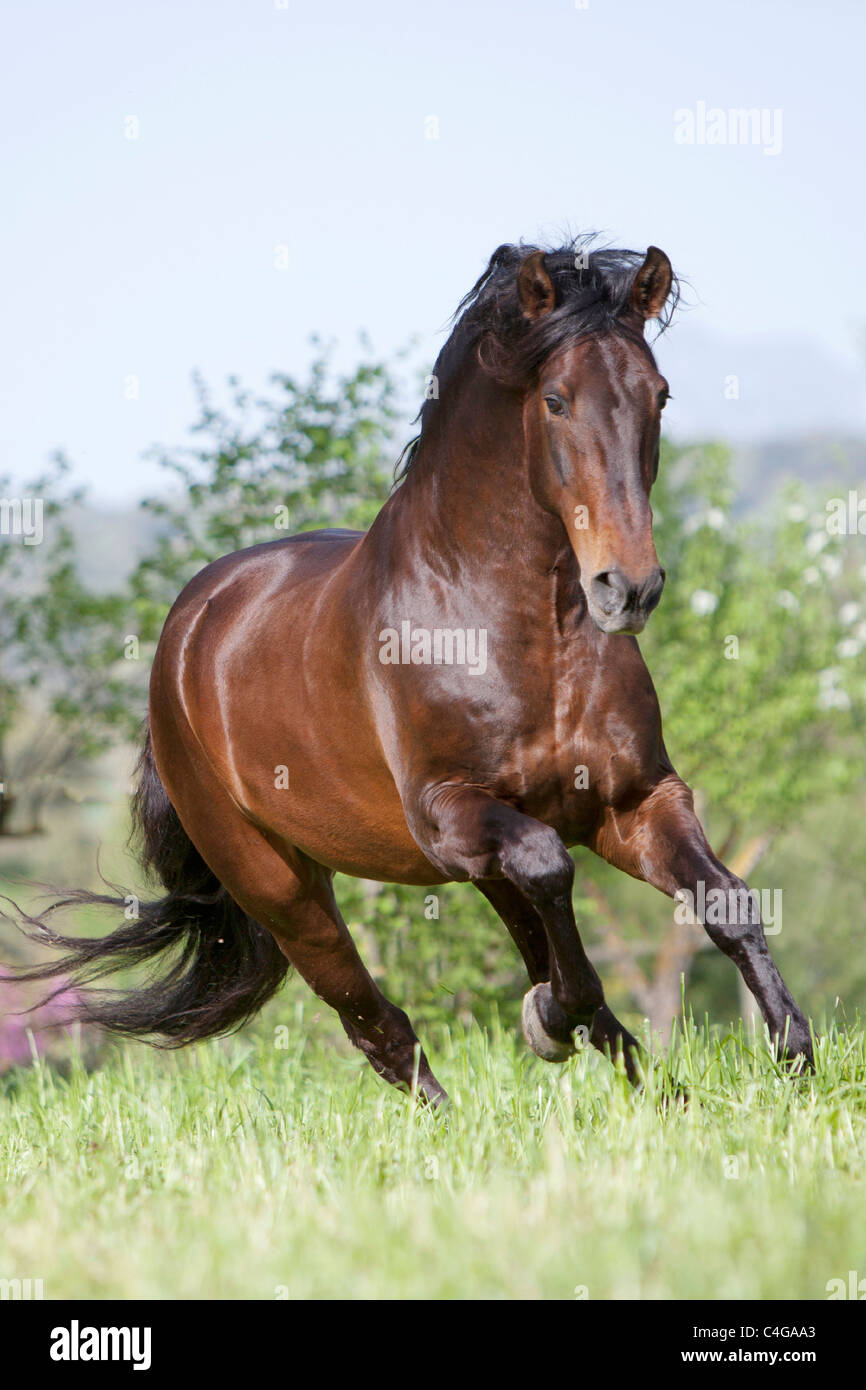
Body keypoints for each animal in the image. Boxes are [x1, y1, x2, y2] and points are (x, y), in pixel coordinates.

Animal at [12, 238, 813, 1103]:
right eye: (556, 400)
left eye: (658, 395)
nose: (627, 588)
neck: (516, 635)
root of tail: (185, 632)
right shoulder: (449, 815)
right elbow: (554, 879)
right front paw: (549, 1019)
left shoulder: (635, 803)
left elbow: (727, 903)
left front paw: (796, 1061)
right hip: (280, 887)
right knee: (379, 1026)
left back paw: (657, 1093)